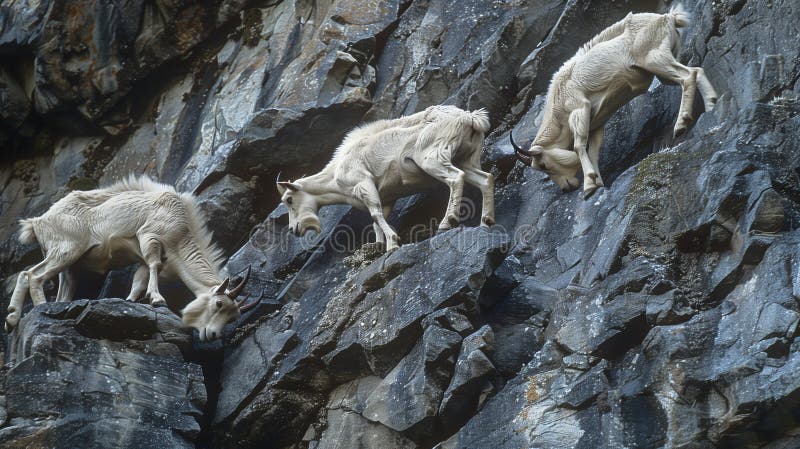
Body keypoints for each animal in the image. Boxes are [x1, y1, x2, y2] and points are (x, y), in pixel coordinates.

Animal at [5, 176, 255, 341]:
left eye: (233, 316)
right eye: (219, 304)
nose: (212, 334)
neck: (182, 233)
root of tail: (37, 222)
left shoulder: (144, 261)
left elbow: (139, 279)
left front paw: (132, 301)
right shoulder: (149, 237)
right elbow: (153, 265)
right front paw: (157, 299)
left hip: (71, 266)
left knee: (38, 280)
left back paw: (11, 319)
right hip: (66, 249)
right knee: (33, 275)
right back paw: (39, 308)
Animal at [276, 105, 494, 251]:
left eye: (289, 199)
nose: (293, 229)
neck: (335, 174)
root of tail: (469, 117)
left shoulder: (363, 183)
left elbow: (375, 215)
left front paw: (393, 243)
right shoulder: (387, 197)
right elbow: (377, 220)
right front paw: (382, 246)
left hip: (432, 158)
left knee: (456, 178)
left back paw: (447, 222)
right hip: (466, 159)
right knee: (485, 179)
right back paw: (486, 222)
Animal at [511, 5, 717, 198]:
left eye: (543, 165)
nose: (566, 187)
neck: (558, 101)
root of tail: (669, 18)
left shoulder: (579, 109)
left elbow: (578, 146)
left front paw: (588, 186)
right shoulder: (596, 124)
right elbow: (594, 152)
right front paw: (598, 183)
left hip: (655, 60)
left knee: (687, 76)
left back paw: (681, 125)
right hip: (664, 63)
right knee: (696, 71)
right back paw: (711, 106)